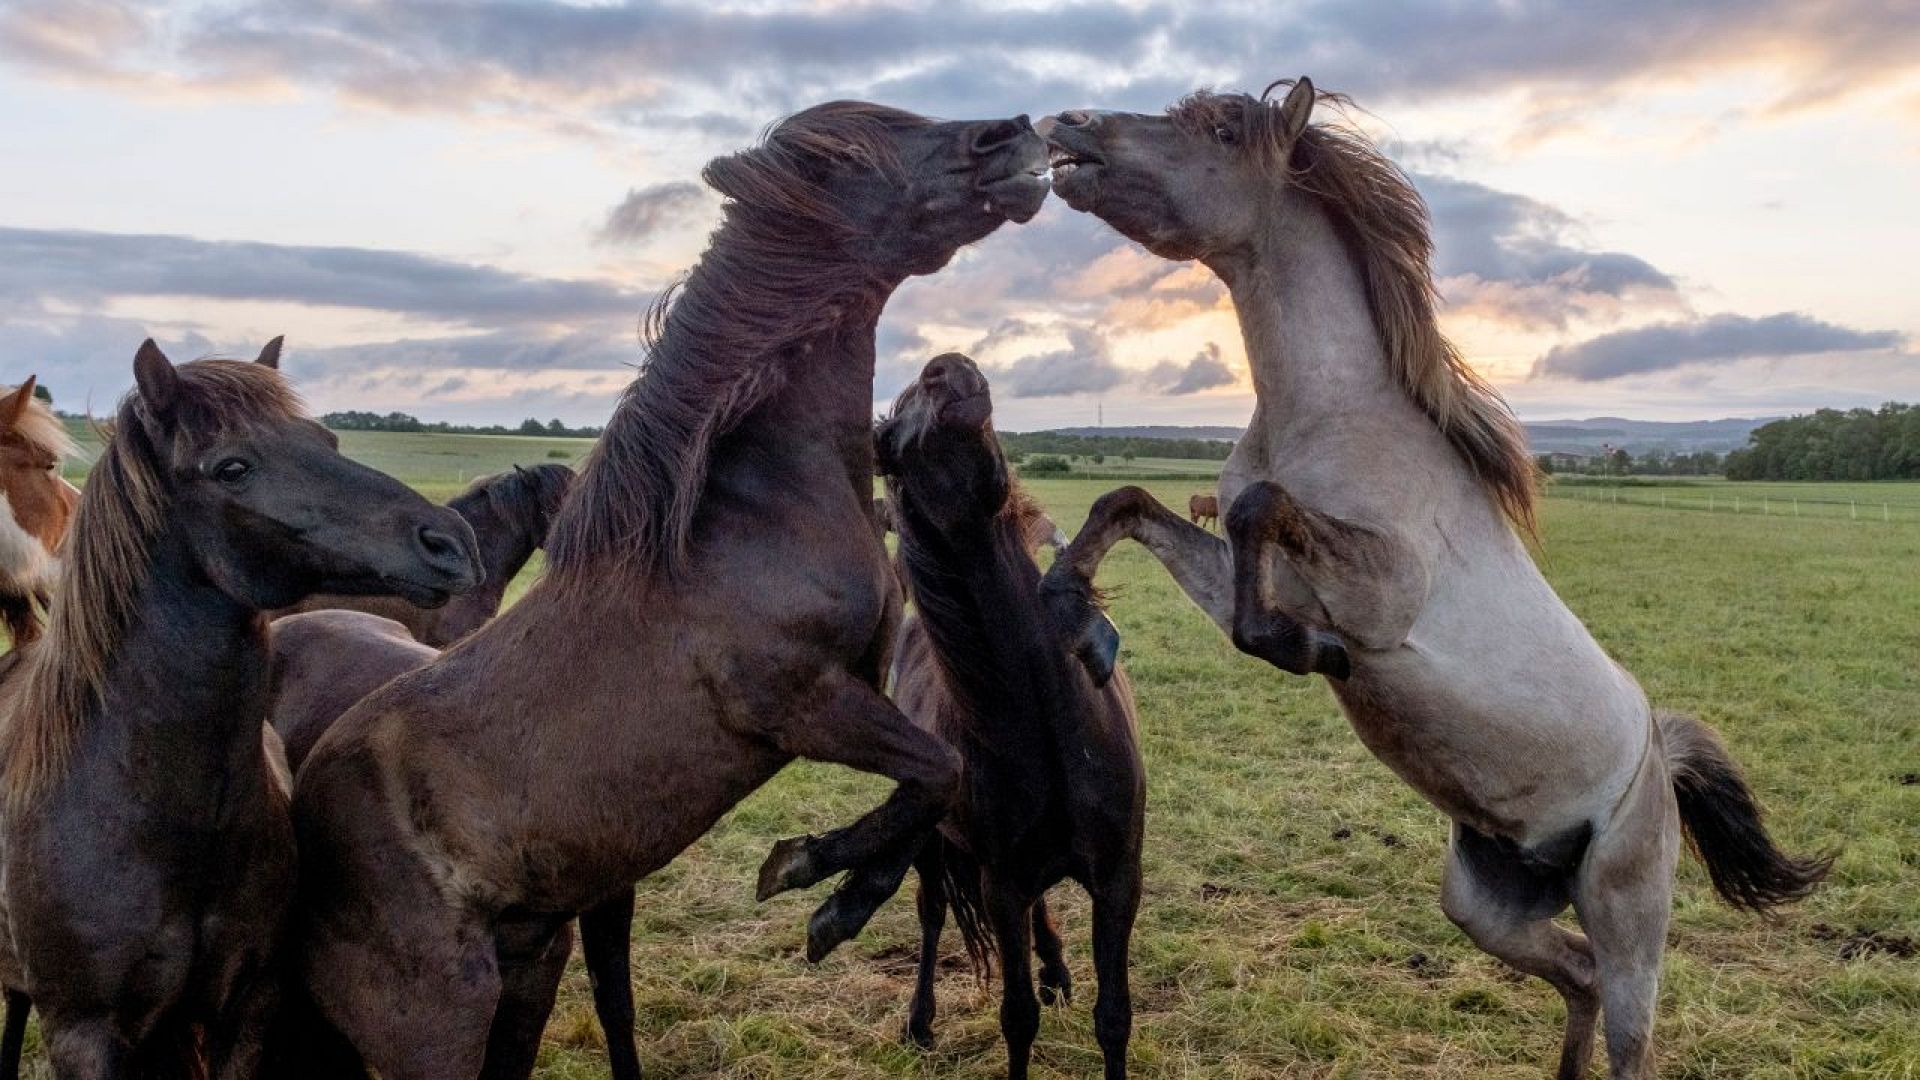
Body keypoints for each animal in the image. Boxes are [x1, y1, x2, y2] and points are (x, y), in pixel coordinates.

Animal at [875, 353, 1144, 1079]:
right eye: (886, 437)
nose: (945, 370)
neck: (1045, 721)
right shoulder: (999, 884)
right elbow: (1016, 1017)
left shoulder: (1118, 878)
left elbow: (1115, 1016)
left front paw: (1064, 980)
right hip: (935, 847)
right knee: (934, 912)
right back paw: (920, 1019)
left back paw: (1055, 969)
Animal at [1036, 80, 1830, 1078]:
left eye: (1218, 128)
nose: (1068, 124)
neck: (1333, 415)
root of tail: (1659, 753)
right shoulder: (1254, 575)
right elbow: (1132, 504)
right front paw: (1068, 601)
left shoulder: (1381, 596)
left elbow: (1257, 512)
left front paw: (1313, 655)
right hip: (1488, 906)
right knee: (1575, 975)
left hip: (1627, 911)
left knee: (1627, 1025)